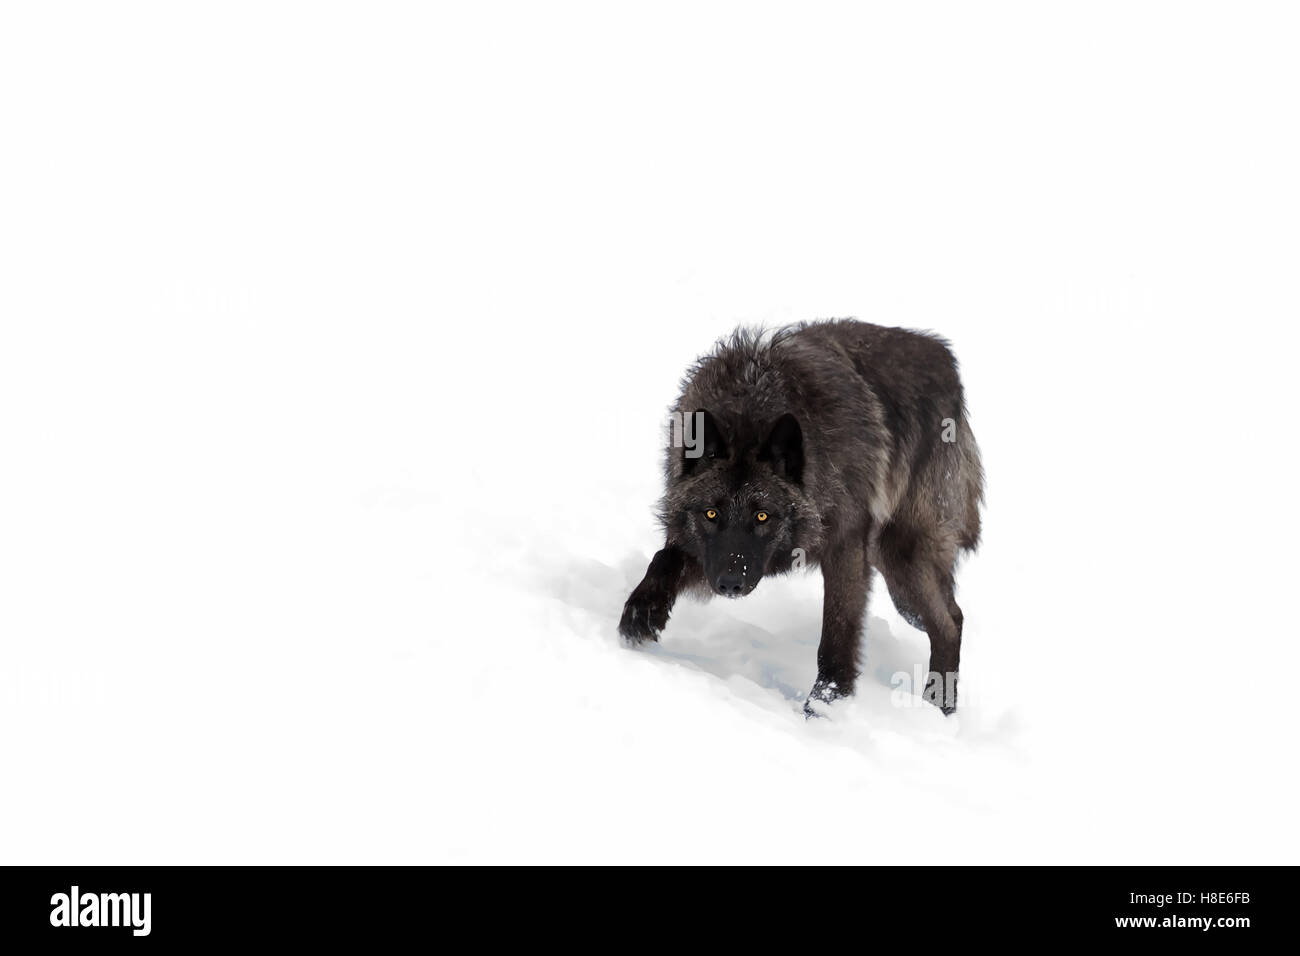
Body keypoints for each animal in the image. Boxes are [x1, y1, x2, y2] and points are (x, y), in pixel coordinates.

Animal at [618, 319, 983, 715]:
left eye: (763, 516)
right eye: (711, 513)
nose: (731, 584)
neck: (751, 409)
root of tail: (944, 358)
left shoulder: (846, 547)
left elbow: (837, 633)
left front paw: (825, 708)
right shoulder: (708, 553)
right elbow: (664, 557)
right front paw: (641, 613)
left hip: (901, 567)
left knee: (948, 624)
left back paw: (938, 710)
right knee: (954, 615)